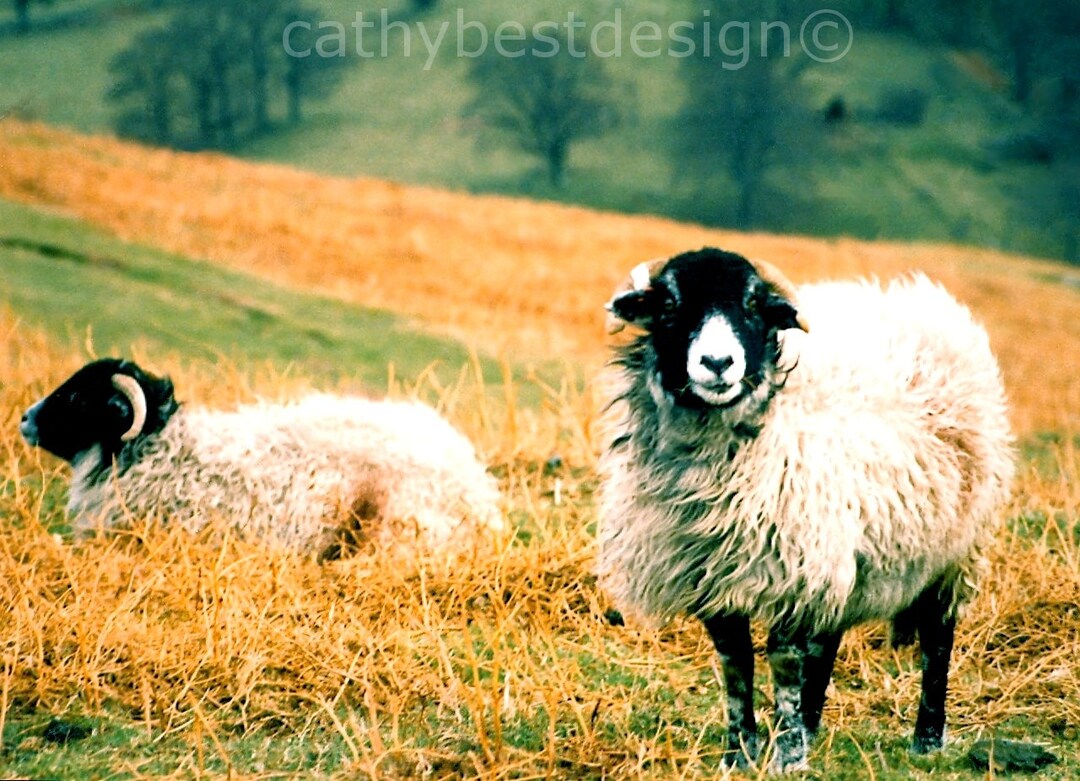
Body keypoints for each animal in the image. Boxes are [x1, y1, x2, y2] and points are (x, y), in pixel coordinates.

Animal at [597, 248, 1014, 772]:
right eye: (670, 304)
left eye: (753, 304)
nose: (718, 362)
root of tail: (923, 299)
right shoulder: (713, 573)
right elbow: (736, 665)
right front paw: (740, 753)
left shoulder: (794, 567)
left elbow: (784, 663)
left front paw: (788, 756)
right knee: (829, 637)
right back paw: (813, 723)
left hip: (955, 548)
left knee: (937, 639)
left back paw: (926, 738)